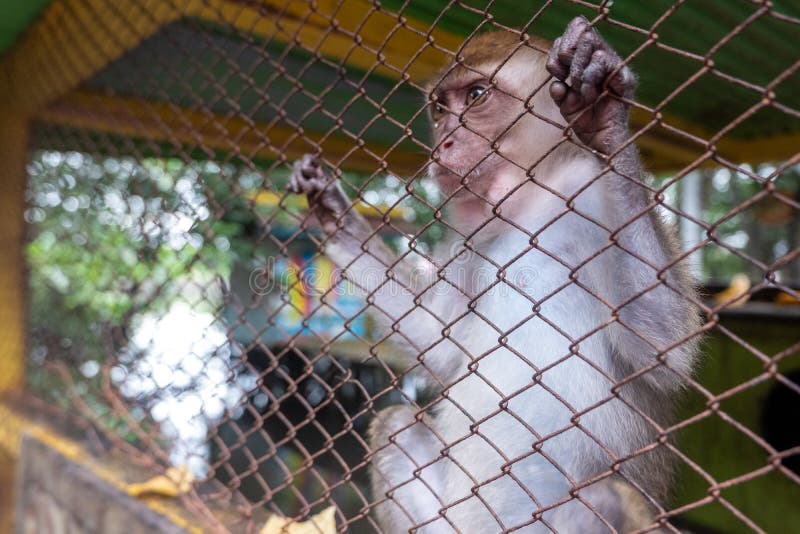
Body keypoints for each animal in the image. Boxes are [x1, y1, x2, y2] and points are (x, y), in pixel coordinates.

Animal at [287, 16, 700, 533]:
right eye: (441, 108)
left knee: (609, 496)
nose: (445, 141)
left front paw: (605, 119)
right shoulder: (467, 237)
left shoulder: (585, 188)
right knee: (397, 425)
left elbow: (661, 352)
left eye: (477, 96)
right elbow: (438, 342)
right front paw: (335, 214)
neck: (525, 200)